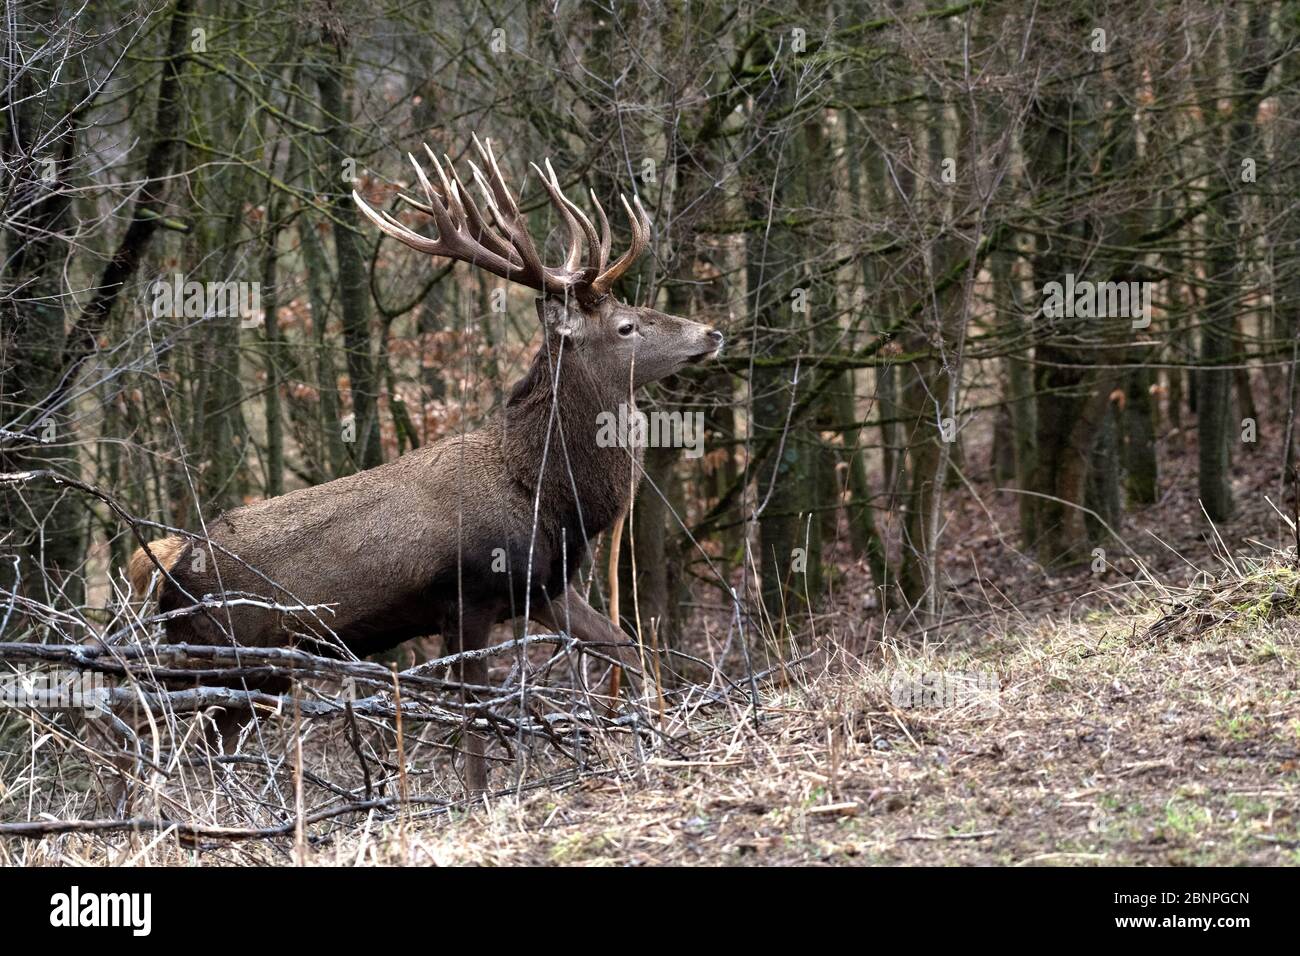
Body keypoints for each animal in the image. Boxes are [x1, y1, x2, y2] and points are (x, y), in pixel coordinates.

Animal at [126, 135, 723, 790]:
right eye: (626, 325)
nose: (711, 332)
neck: (544, 492)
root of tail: (166, 570)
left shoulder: (542, 588)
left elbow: (624, 644)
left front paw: (660, 727)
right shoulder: (466, 596)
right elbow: (474, 717)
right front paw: (479, 793)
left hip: (254, 672)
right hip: (218, 657)